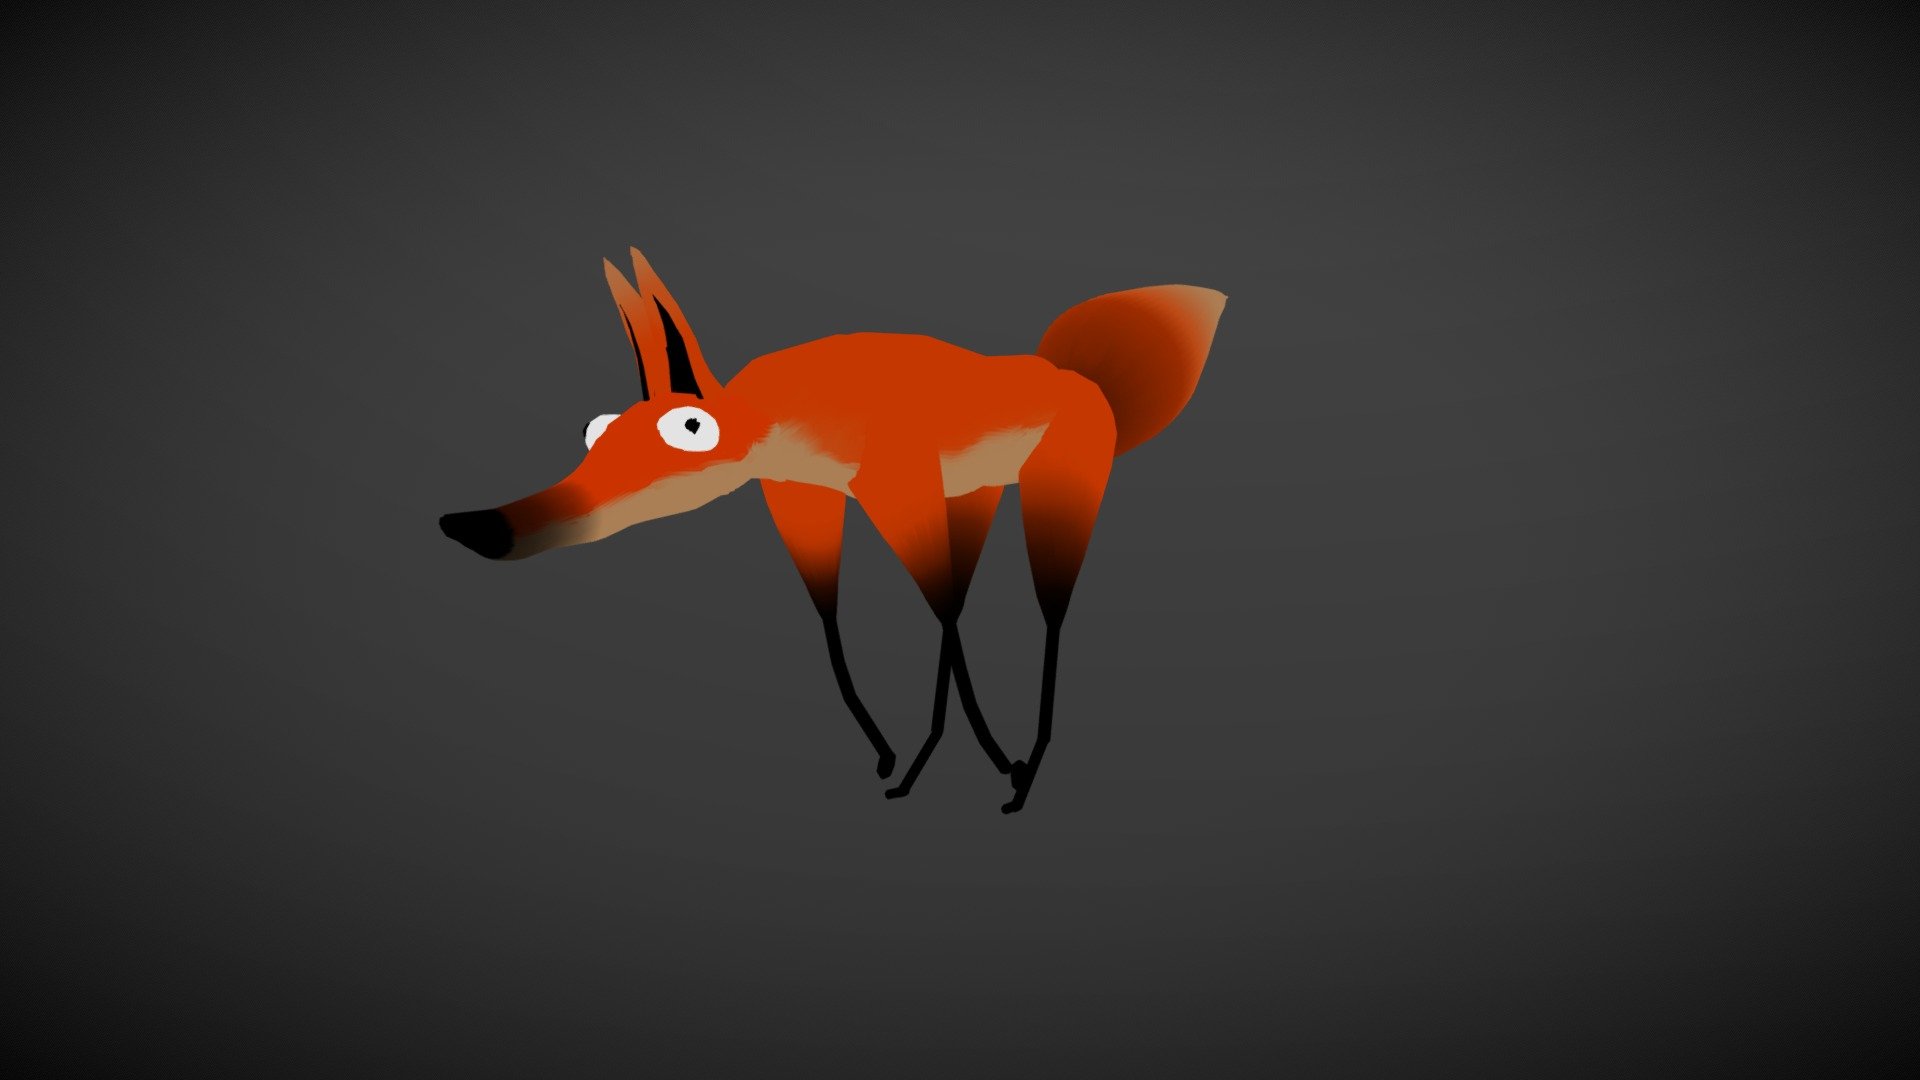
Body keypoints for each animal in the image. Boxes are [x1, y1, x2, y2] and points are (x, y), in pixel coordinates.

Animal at [440, 247, 1225, 812]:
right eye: (593, 432)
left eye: (690, 428)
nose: (479, 526)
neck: (773, 416)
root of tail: (1080, 376)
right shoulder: (804, 492)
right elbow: (834, 612)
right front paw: (896, 752)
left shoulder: (894, 485)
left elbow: (935, 609)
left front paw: (930, 761)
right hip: (975, 489)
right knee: (968, 602)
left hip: (1063, 474)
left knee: (1045, 610)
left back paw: (1026, 767)